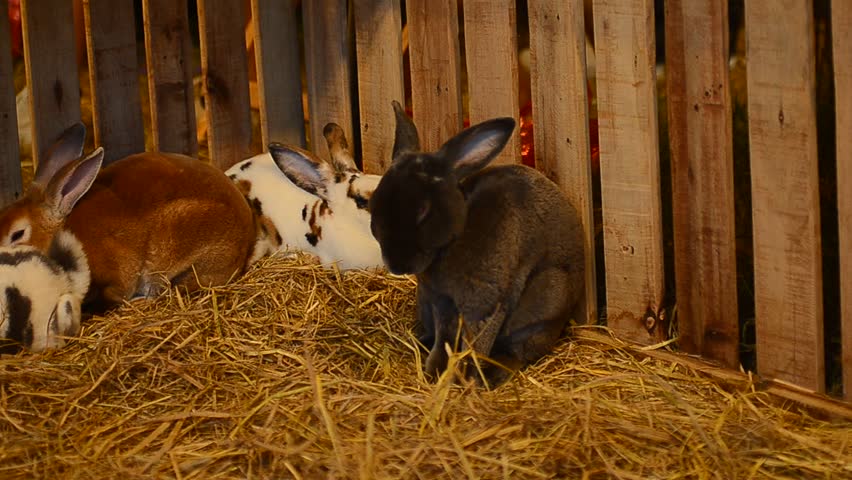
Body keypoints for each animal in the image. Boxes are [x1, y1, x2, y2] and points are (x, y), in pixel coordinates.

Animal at [368, 101, 586, 388]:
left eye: (423, 211)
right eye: (374, 203)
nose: (396, 265)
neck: (456, 236)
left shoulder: (486, 305)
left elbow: (474, 345)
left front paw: (466, 380)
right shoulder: (441, 302)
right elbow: (446, 339)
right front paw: (436, 372)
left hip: (547, 299)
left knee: (520, 349)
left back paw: (494, 375)